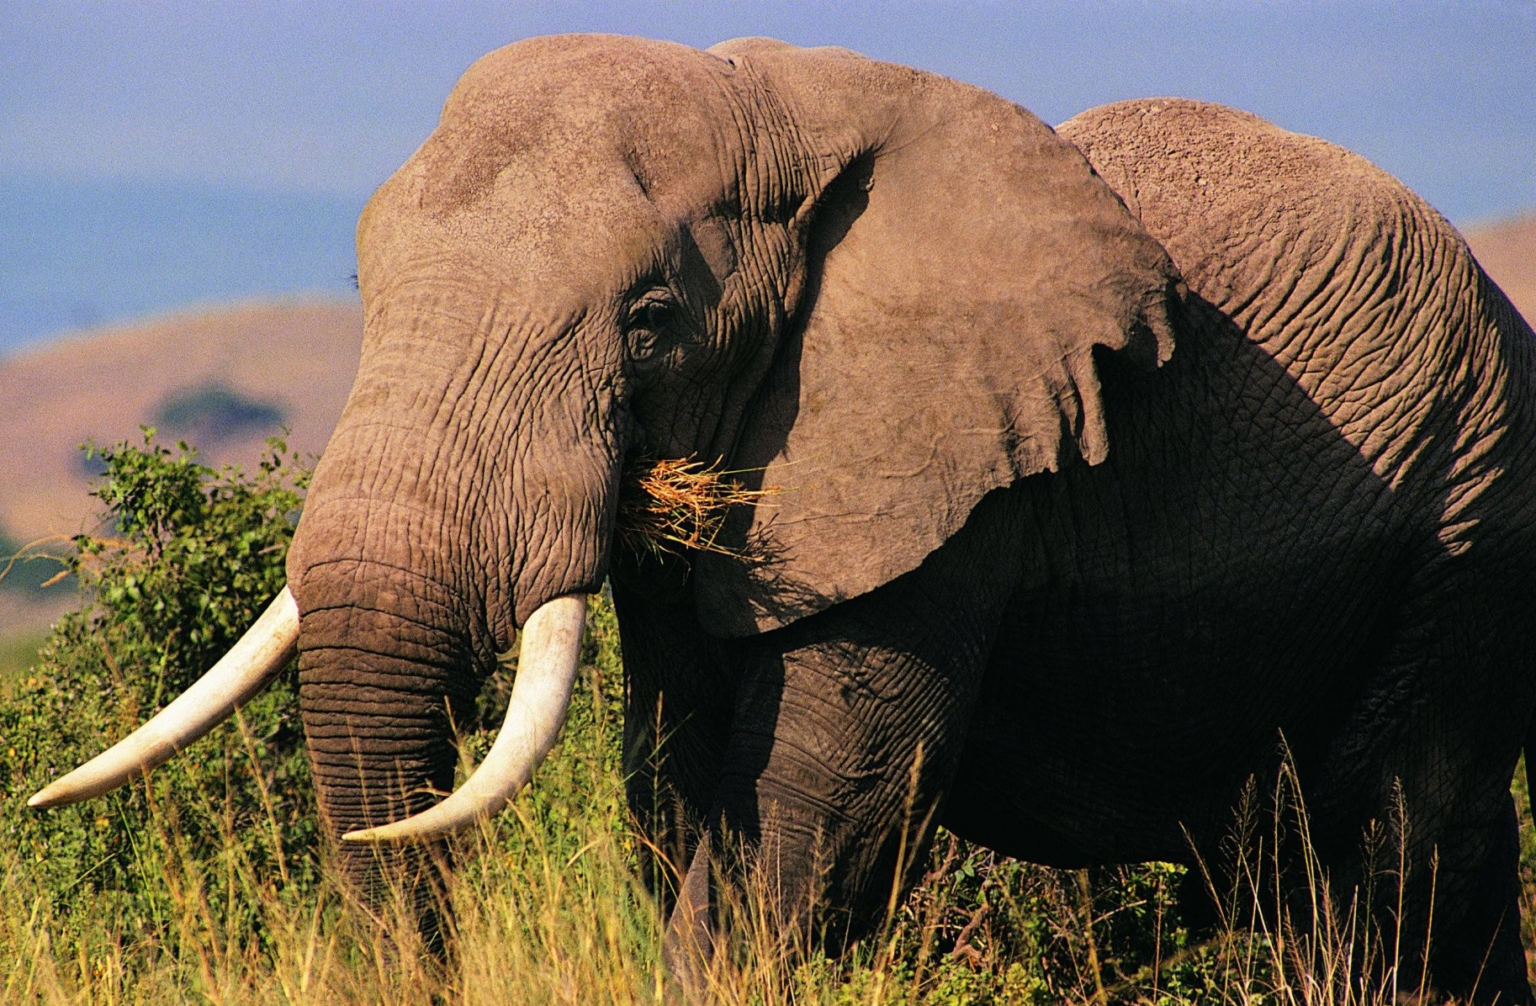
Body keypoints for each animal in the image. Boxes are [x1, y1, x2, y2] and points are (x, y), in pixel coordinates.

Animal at [29, 33, 1536, 1002]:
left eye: (648, 325)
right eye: (364, 285)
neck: (778, 104)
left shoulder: (953, 481)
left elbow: (816, 806)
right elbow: (674, 788)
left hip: (1471, 523)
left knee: (1396, 858)